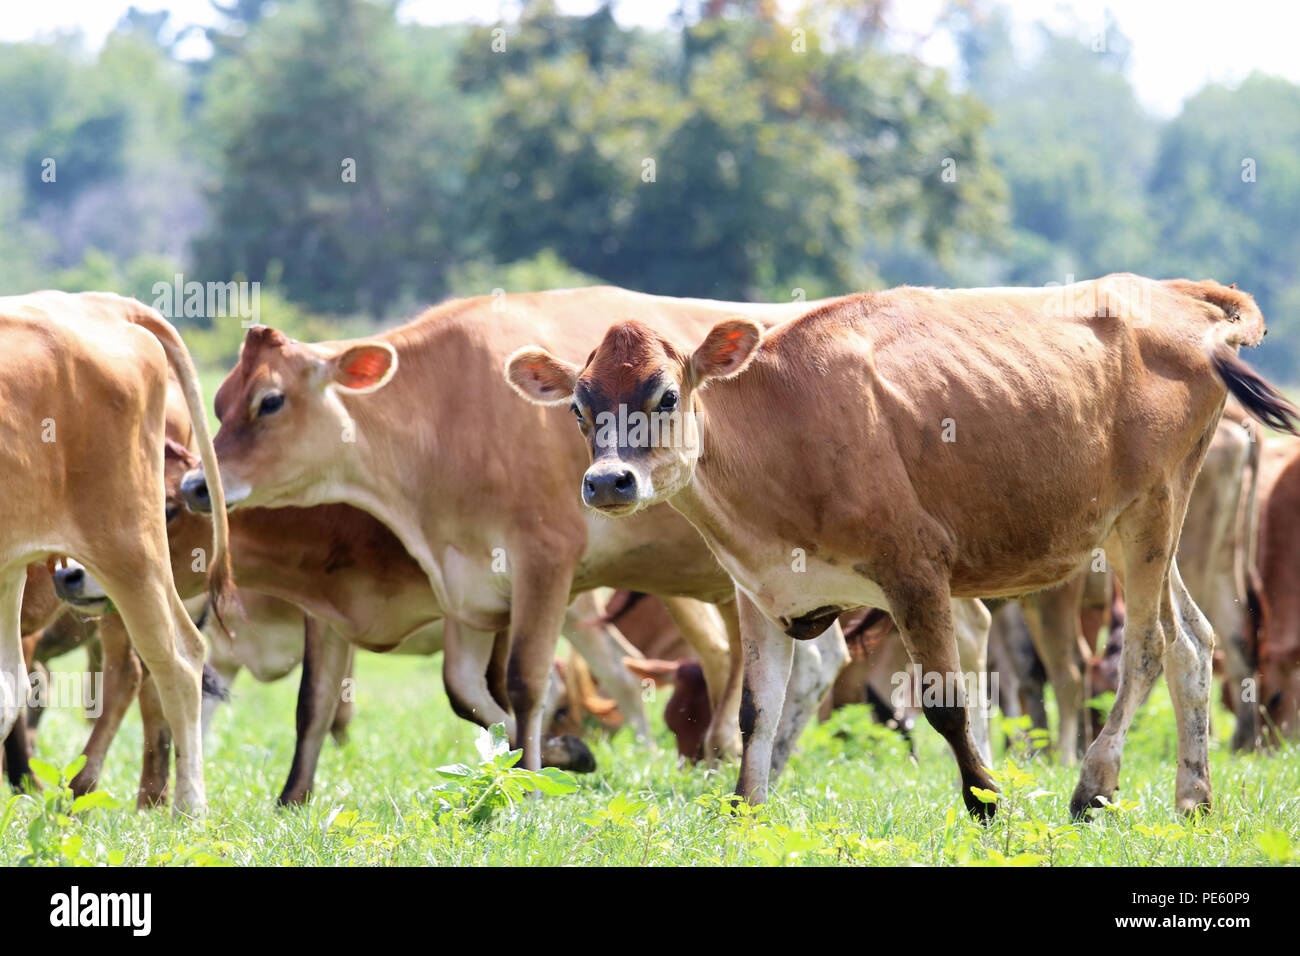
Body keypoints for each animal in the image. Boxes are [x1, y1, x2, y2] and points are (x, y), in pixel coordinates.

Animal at [179, 288, 851, 774]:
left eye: (270, 401)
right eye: (218, 402)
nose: (193, 486)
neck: (449, 414)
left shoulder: (546, 563)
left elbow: (526, 683)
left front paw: (530, 779)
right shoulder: (470, 583)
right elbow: (464, 690)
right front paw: (555, 754)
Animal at [506, 275, 1299, 816]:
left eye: (666, 395)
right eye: (578, 408)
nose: (607, 481)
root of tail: (1167, 292)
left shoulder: (915, 573)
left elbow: (946, 704)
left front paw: (986, 803)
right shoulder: (760, 591)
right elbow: (759, 711)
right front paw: (749, 811)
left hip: (1153, 513)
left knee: (1146, 646)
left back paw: (1093, 783)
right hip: (1142, 530)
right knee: (1193, 640)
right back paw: (1192, 797)